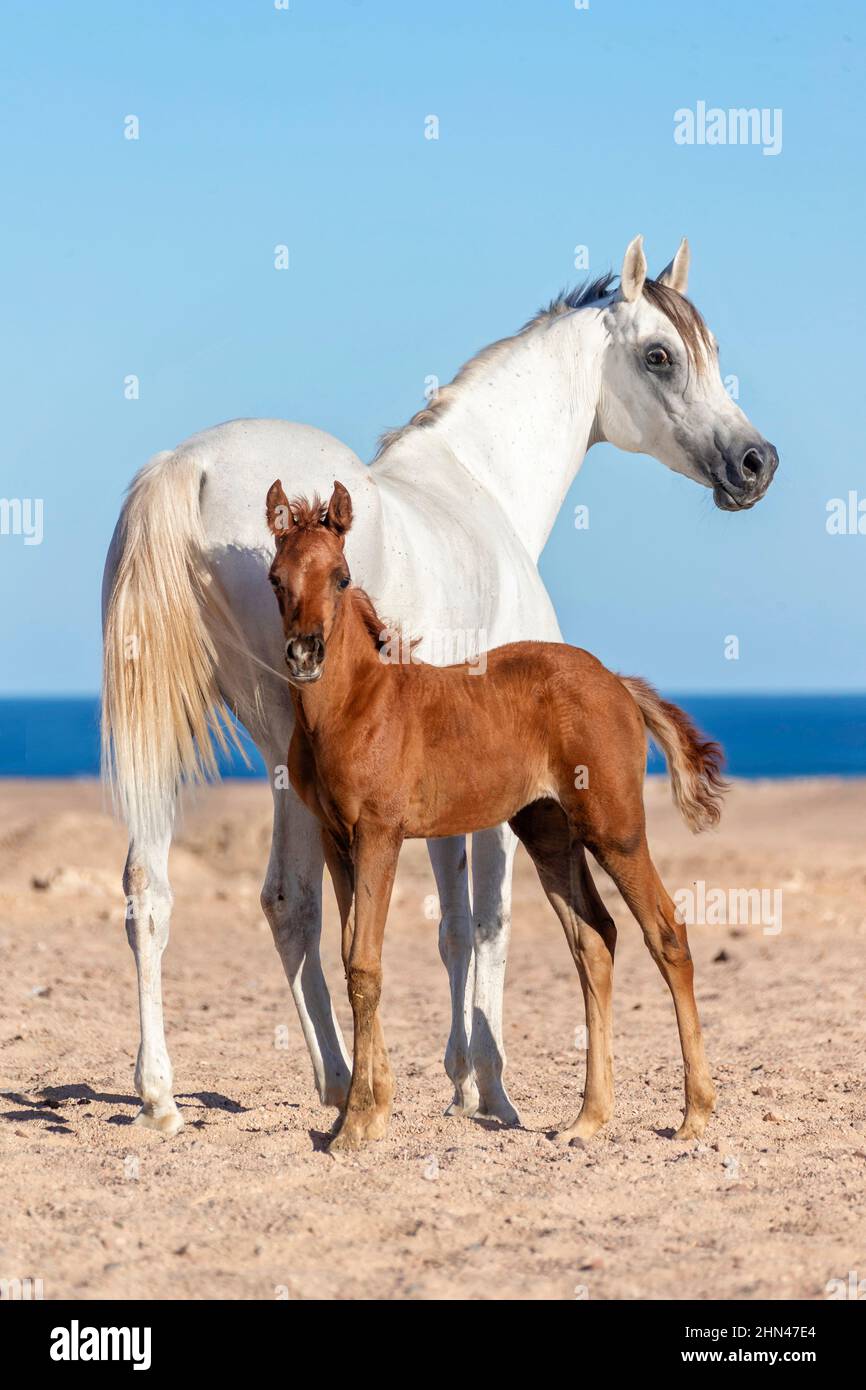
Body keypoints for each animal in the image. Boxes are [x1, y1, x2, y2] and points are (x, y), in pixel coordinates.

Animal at [264, 479, 727, 1151]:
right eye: (276, 578)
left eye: (342, 576)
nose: (304, 654)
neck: (355, 705)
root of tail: (616, 682)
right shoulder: (336, 839)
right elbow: (351, 955)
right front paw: (364, 1112)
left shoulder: (379, 833)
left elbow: (364, 964)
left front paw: (355, 1125)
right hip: (547, 831)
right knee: (594, 940)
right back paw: (587, 1118)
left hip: (615, 830)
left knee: (666, 933)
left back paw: (694, 1112)